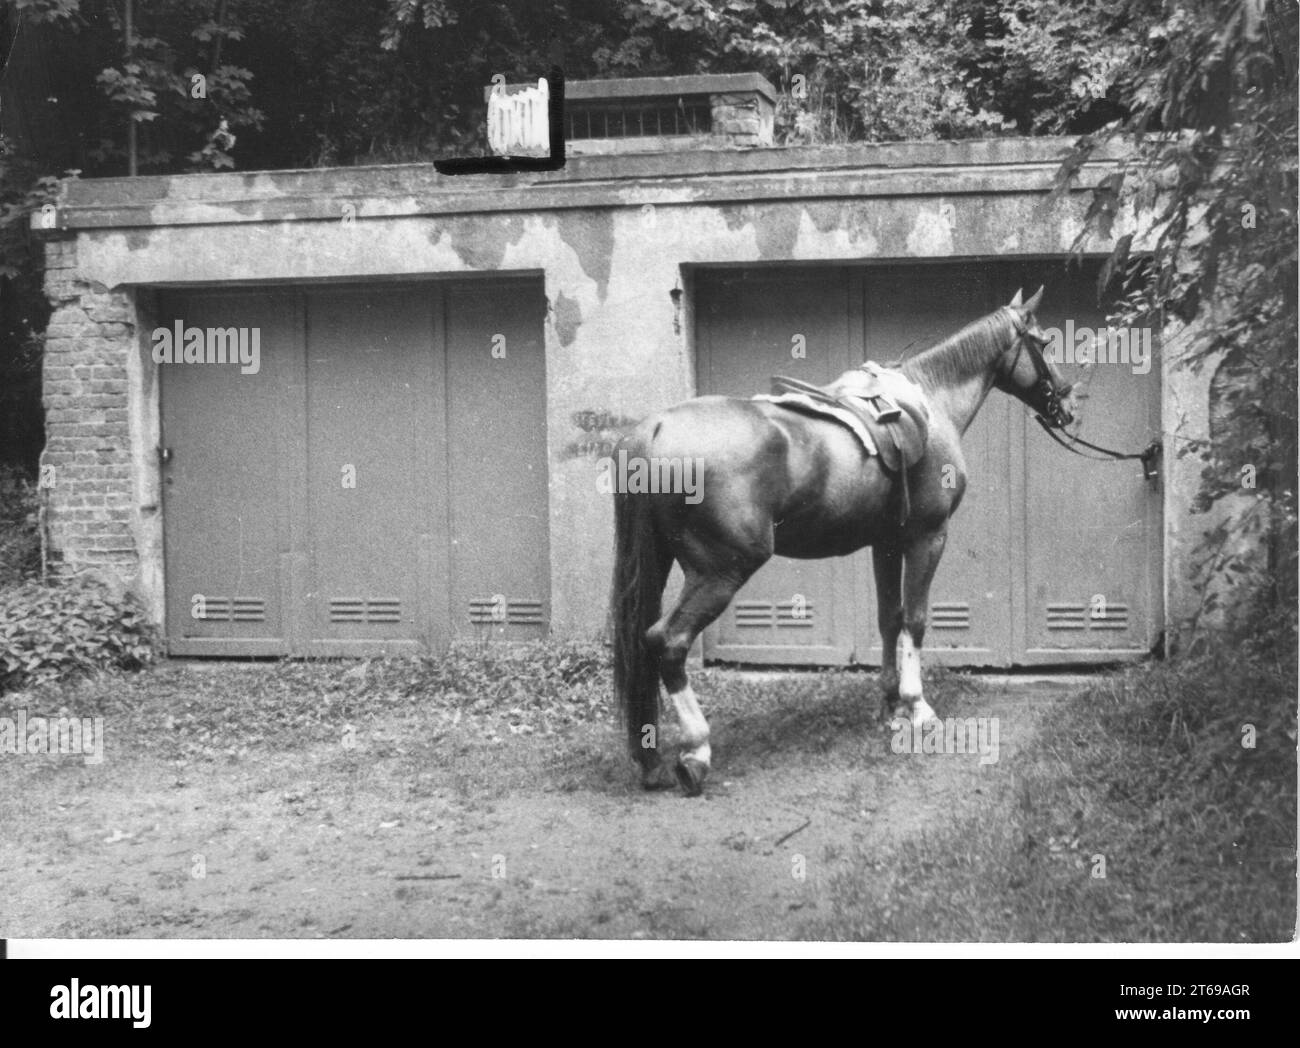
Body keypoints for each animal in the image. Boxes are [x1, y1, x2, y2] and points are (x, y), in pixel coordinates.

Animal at [609, 287, 1077, 795]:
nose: (1066, 404)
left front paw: (889, 706)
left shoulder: (885, 543)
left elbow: (890, 620)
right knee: (667, 640)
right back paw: (695, 753)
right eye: (1043, 342)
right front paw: (918, 707)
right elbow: (916, 620)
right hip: (721, 572)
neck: (931, 402)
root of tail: (654, 430)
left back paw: (650, 759)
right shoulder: (928, 536)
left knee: (644, 641)